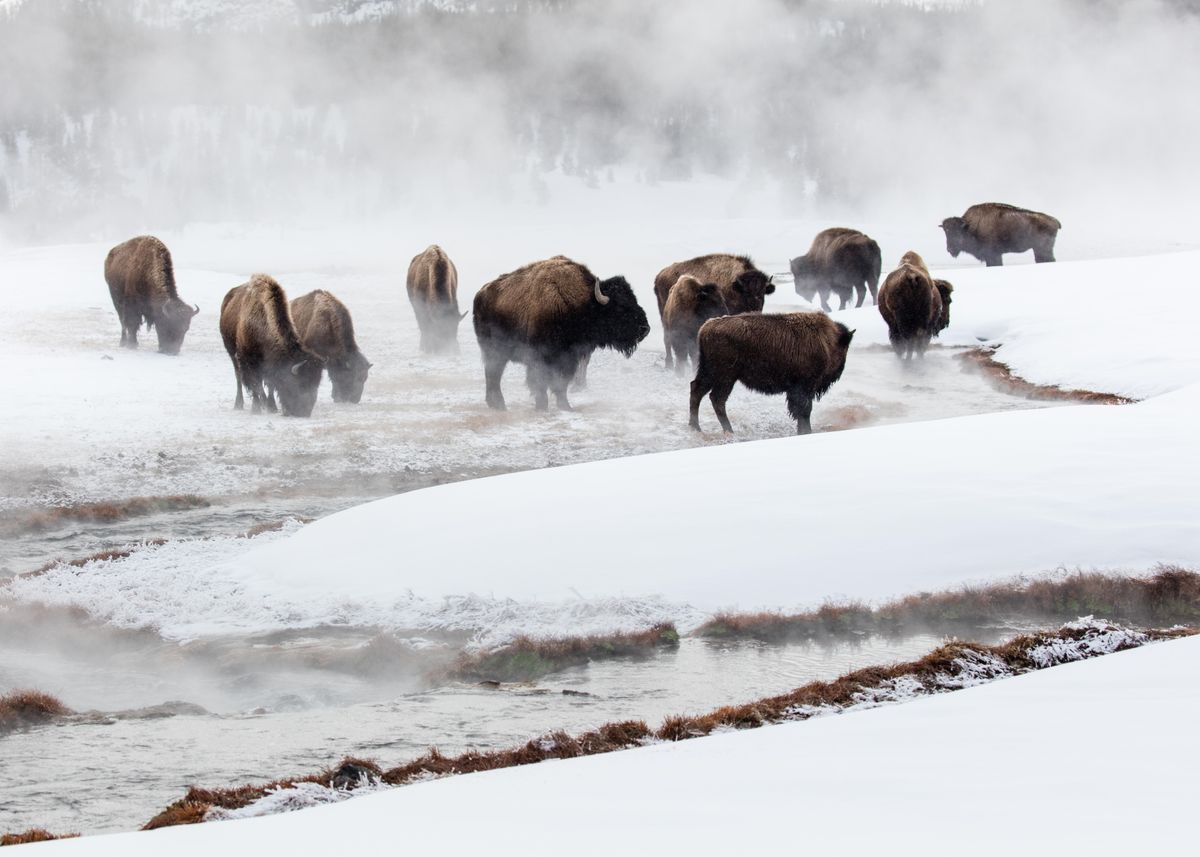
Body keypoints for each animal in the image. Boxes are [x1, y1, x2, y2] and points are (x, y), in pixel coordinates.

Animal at [219, 274, 325, 417]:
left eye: (316, 384)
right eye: (299, 384)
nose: (304, 413)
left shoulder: (269, 364)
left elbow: (269, 384)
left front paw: (271, 407)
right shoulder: (250, 360)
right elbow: (256, 383)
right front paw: (256, 409)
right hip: (232, 353)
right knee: (239, 377)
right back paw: (239, 404)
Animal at [473, 256, 650, 411]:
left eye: (634, 299)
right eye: (620, 307)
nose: (645, 329)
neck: (582, 303)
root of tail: (480, 294)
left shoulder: (569, 358)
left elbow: (561, 384)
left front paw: (565, 406)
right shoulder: (541, 357)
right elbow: (540, 383)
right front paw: (542, 407)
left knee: (492, 375)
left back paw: (495, 405)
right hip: (494, 351)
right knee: (493, 374)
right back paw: (499, 405)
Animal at [689, 312, 854, 435]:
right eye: (844, 349)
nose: (839, 371)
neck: (827, 341)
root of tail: (706, 327)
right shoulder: (804, 388)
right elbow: (805, 410)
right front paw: (806, 431)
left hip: (710, 374)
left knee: (697, 390)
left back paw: (696, 427)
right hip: (725, 377)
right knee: (717, 398)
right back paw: (728, 430)